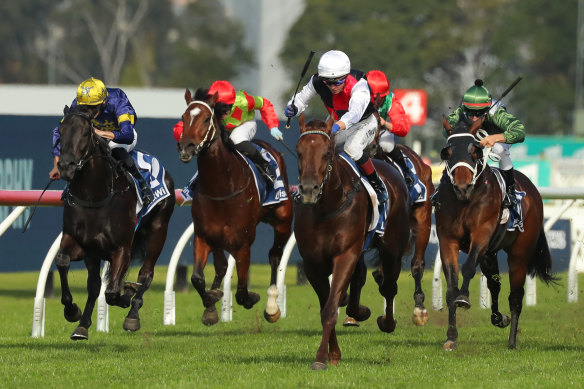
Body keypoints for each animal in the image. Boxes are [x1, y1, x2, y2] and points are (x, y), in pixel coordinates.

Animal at [55, 104, 175, 338]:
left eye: (86, 132)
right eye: (60, 131)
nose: (66, 166)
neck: (95, 196)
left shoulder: (121, 249)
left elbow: (112, 292)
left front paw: (126, 294)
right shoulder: (83, 245)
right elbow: (64, 262)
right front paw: (73, 311)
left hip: (159, 229)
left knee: (146, 274)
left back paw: (132, 314)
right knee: (95, 285)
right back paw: (82, 325)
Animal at [173, 87, 292, 324]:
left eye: (206, 118)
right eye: (184, 116)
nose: (186, 147)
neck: (220, 189)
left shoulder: (242, 243)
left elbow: (243, 292)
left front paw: (251, 298)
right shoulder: (204, 235)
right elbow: (197, 278)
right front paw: (211, 302)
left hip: (283, 221)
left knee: (275, 255)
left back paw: (272, 306)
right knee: (222, 266)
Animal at [292, 113, 410, 368]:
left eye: (327, 152)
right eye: (298, 151)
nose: (308, 190)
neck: (327, 207)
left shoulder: (345, 254)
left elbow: (330, 309)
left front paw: (320, 358)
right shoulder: (312, 264)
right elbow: (327, 305)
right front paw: (333, 354)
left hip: (392, 248)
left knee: (388, 286)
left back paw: (387, 322)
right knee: (359, 278)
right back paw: (359, 311)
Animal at [434, 114, 556, 348]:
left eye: (475, 151)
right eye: (447, 153)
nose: (462, 186)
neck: (466, 200)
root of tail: (533, 191)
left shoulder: (481, 235)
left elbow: (468, 268)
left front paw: (464, 298)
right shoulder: (447, 239)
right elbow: (451, 285)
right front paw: (451, 337)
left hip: (519, 255)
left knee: (516, 297)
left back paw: (512, 342)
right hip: (490, 254)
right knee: (494, 285)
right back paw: (499, 318)